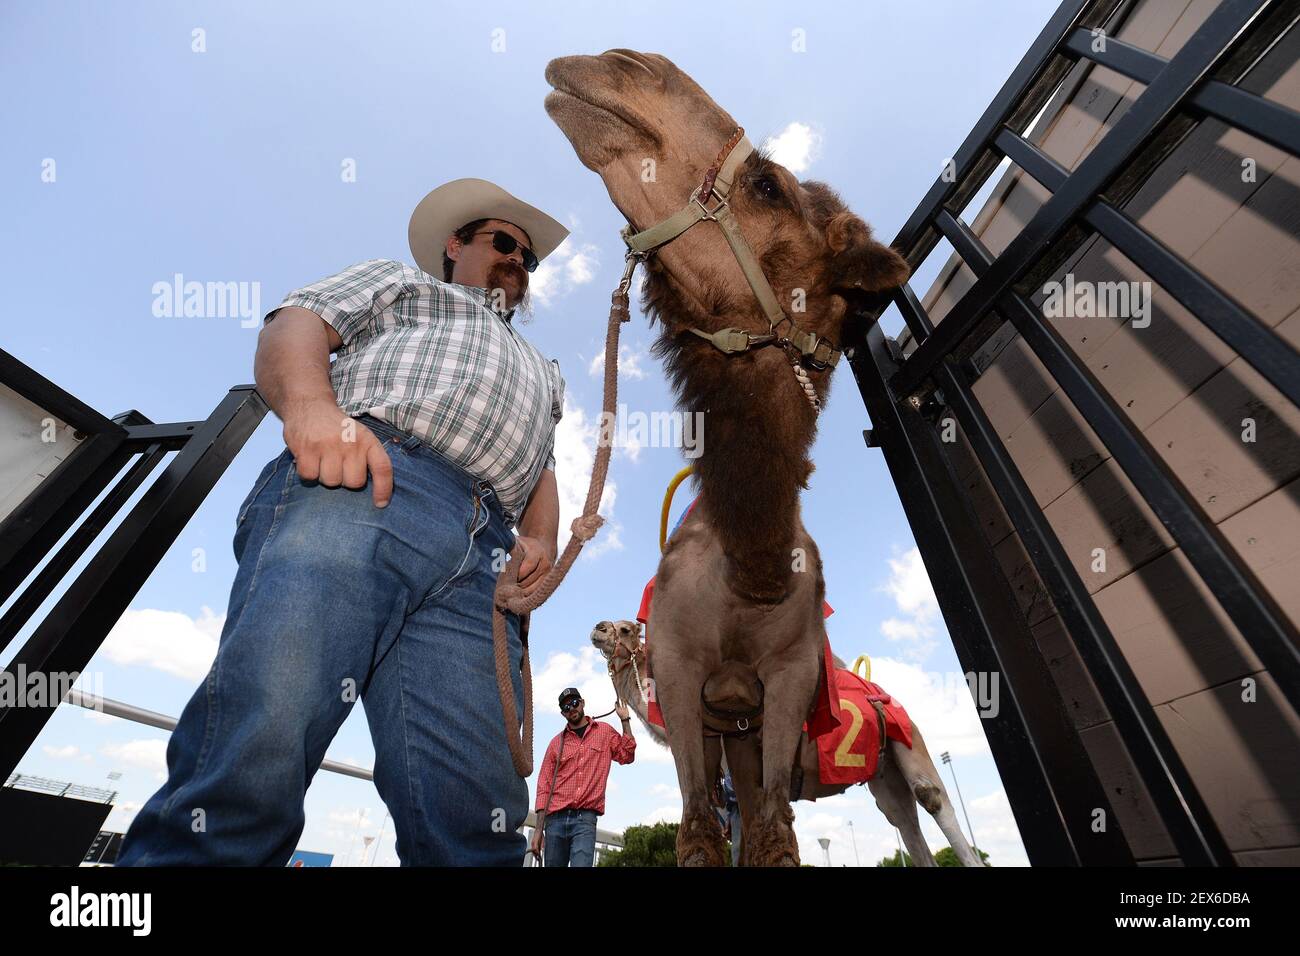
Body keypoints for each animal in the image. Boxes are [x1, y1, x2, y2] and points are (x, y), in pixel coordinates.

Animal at [546, 49, 912, 866]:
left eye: (768, 185)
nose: (621, 64)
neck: (757, 570)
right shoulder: (683, 676)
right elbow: (699, 833)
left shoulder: (788, 677)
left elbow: (772, 835)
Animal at [591, 620, 984, 866]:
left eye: (626, 628)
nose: (598, 627)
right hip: (883, 773)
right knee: (903, 820)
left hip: (910, 738)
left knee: (931, 797)